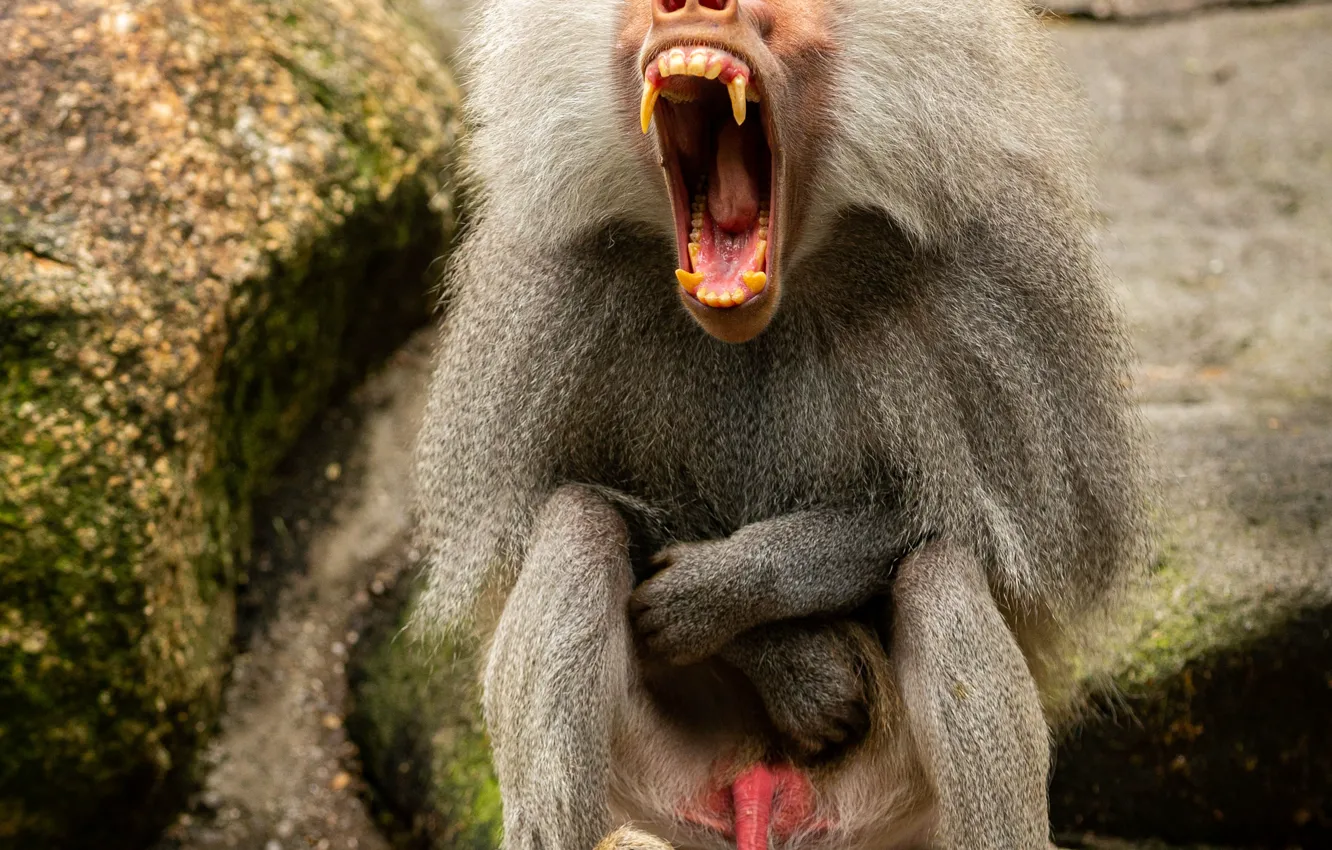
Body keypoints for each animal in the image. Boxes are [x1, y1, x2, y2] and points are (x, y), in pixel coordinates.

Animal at [413, 0, 1149, 847]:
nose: (690, 4)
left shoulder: (1006, 299)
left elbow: (987, 542)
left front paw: (725, 595)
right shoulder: (540, 309)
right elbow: (554, 523)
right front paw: (792, 664)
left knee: (939, 578)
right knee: (577, 527)